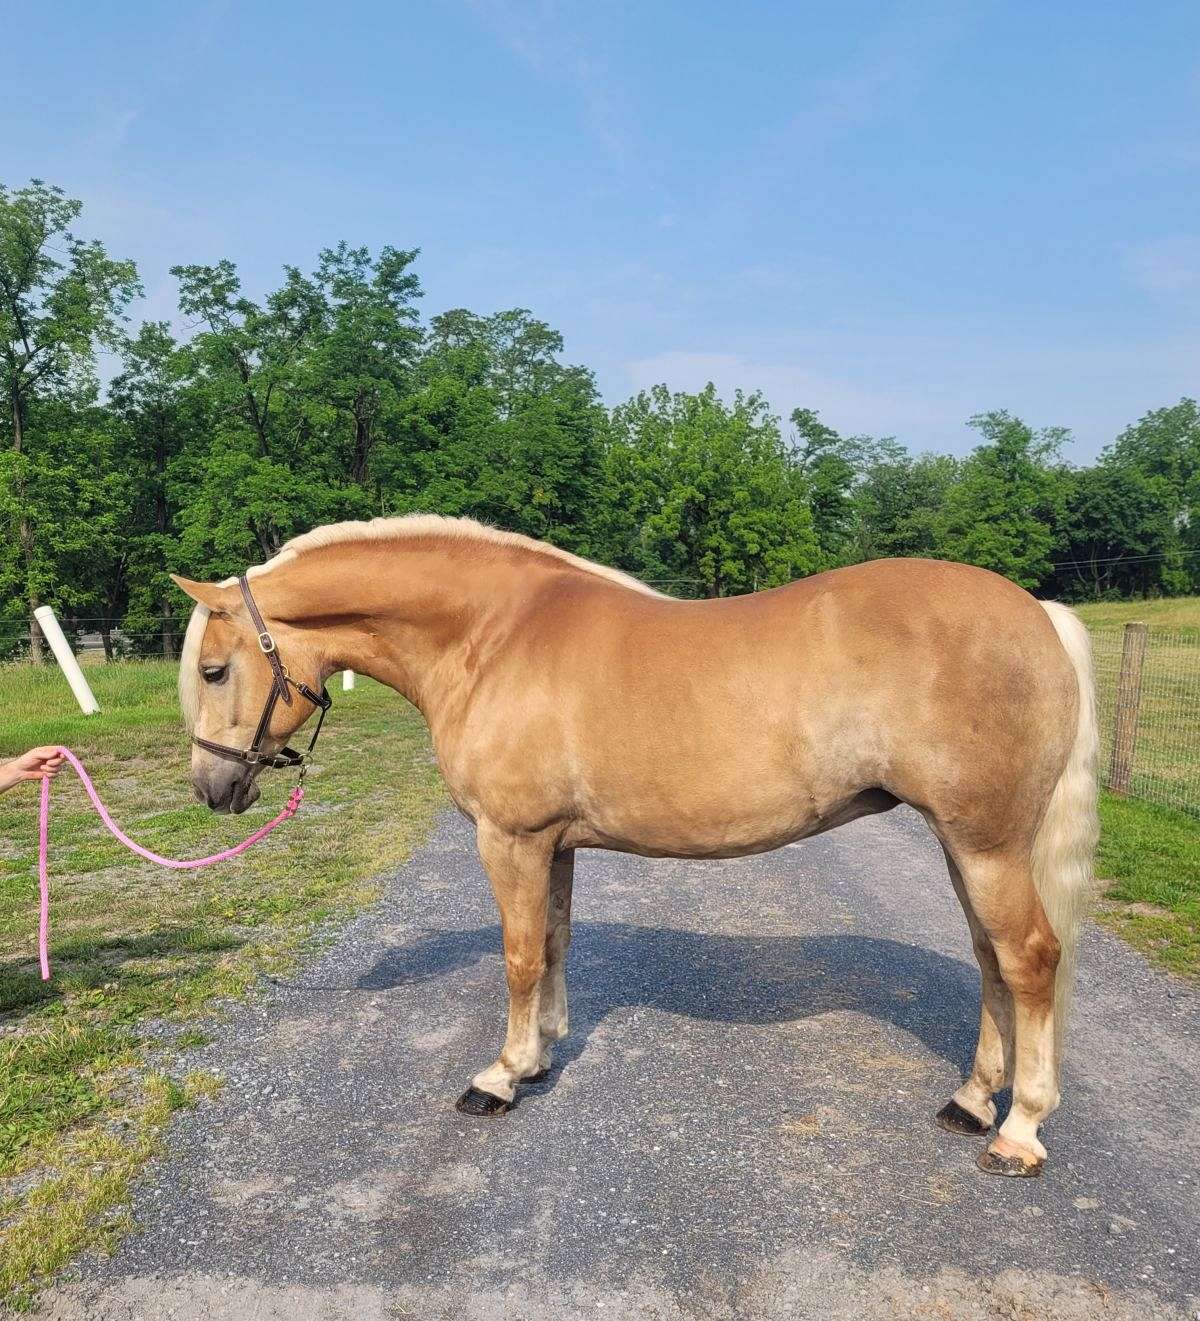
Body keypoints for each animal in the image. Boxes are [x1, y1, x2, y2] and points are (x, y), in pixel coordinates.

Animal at [173, 514, 1097, 1178]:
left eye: (215, 670)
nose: (212, 788)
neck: (492, 636)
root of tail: (1038, 614)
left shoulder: (510, 838)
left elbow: (517, 954)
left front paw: (497, 1076)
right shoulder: (552, 842)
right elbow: (552, 942)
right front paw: (539, 1057)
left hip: (986, 844)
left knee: (1029, 959)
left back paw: (1018, 1130)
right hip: (964, 842)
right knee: (990, 960)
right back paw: (972, 1100)